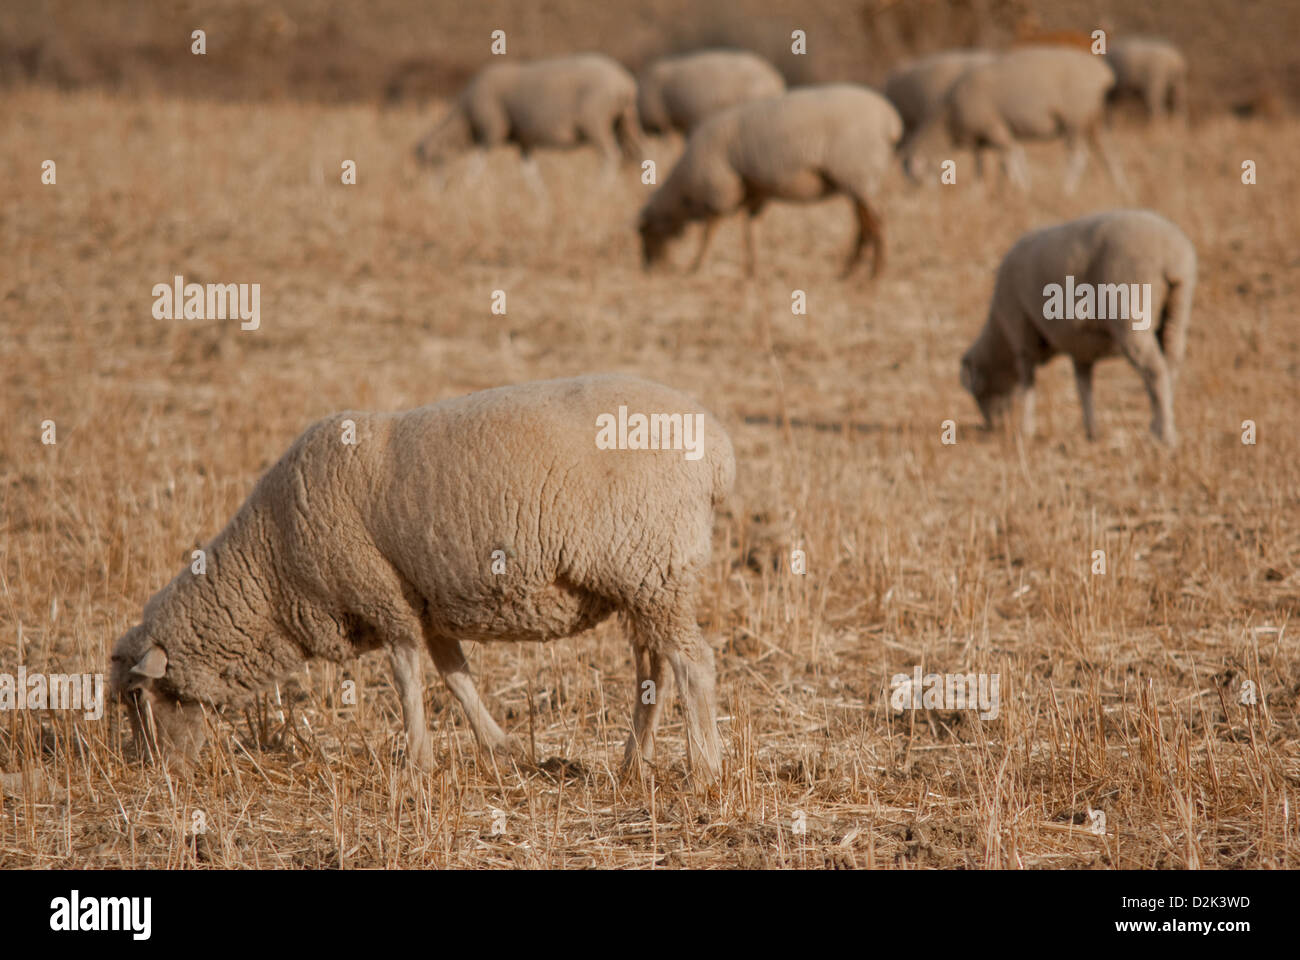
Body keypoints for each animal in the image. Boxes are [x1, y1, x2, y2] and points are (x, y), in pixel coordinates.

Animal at [110, 374, 735, 783]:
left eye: (138, 698)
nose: (148, 772)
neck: (271, 563)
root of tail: (716, 447)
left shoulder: (381, 594)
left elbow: (406, 676)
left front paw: (417, 763)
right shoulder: (428, 600)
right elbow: (454, 674)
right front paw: (499, 746)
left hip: (652, 566)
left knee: (692, 663)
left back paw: (704, 769)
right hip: (642, 581)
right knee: (653, 670)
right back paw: (633, 762)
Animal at [412, 54, 644, 175]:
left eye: (432, 162)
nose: (435, 194)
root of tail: (624, 81)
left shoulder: (491, 132)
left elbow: (477, 166)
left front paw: (467, 189)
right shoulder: (524, 141)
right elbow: (531, 175)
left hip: (595, 123)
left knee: (611, 156)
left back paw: (598, 191)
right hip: (625, 122)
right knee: (637, 153)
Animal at [638, 84, 902, 278]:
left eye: (644, 232)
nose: (648, 268)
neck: (683, 193)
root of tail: (890, 121)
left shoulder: (720, 188)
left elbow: (709, 233)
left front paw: (696, 266)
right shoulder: (755, 192)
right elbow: (750, 231)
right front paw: (751, 271)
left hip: (858, 172)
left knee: (878, 223)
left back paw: (875, 276)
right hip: (857, 180)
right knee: (864, 226)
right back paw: (849, 273)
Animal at [902, 46, 1122, 194]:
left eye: (915, 177)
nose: (921, 197)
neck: (947, 119)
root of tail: (1104, 75)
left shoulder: (995, 129)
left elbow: (1009, 161)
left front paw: (1021, 188)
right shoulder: (984, 139)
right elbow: (983, 166)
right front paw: (977, 192)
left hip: (1075, 119)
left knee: (1078, 157)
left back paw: (1066, 189)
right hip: (1096, 120)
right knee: (1109, 154)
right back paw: (1121, 188)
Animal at [960, 209, 1196, 445]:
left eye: (977, 392)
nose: (991, 427)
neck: (999, 336)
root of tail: (1171, 254)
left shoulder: (1021, 331)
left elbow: (1028, 383)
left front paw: (1026, 429)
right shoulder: (1080, 348)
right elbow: (1084, 387)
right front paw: (1091, 432)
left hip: (1130, 309)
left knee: (1154, 370)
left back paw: (1163, 434)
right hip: (1177, 309)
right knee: (1171, 364)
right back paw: (1162, 421)